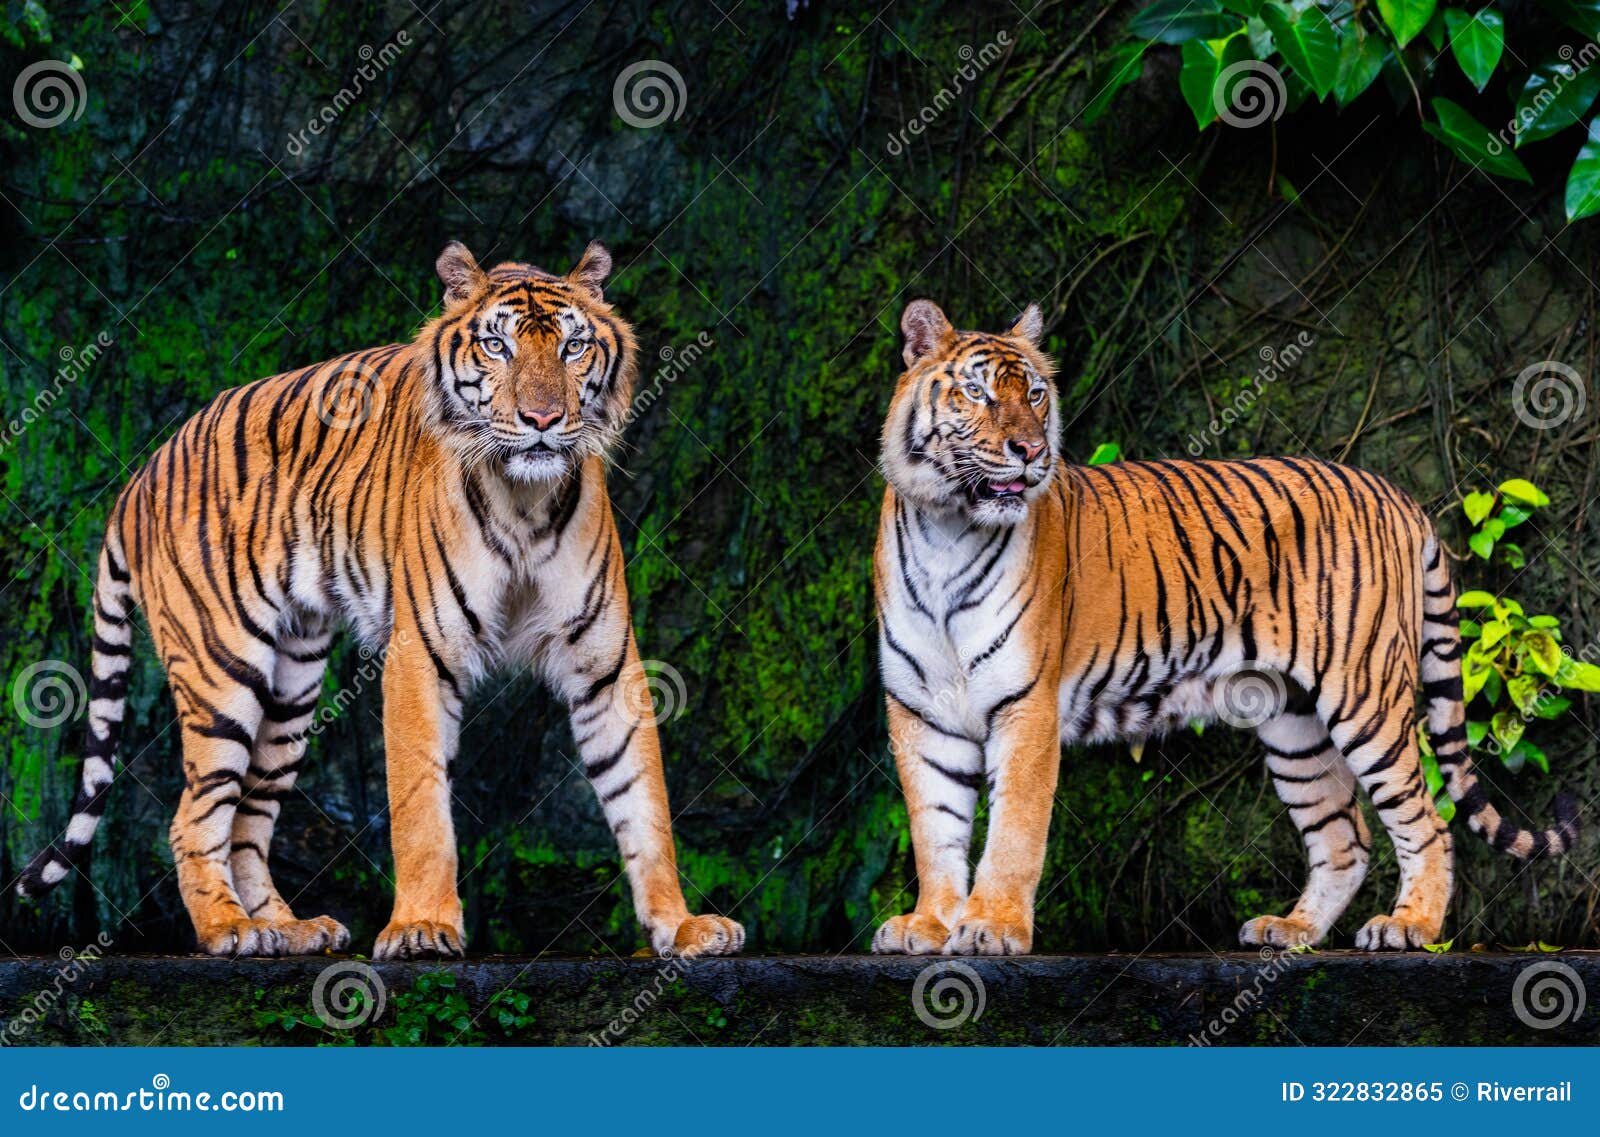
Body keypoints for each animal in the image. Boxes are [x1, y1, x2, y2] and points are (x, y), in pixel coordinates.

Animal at [15, 240, 744, 961]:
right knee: (193, 813)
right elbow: (420, 804)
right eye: (497, 346)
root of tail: (144, 469)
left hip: (292, 686)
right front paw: (422, 926)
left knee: (248, 816)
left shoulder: (606, 666)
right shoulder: (422, 654)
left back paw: (286, 929)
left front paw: (681, 924)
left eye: (572, 347)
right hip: (223, 666)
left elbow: (643, 800)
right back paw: (228, 929)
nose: (542, 419)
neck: (525, 501)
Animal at [870, 297, 1579, 956]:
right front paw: (930, 925)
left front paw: (991, 928)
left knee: (1425, 820)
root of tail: (1398, 495)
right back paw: (1291, 930)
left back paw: (1409, 927)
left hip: (1366, 697)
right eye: (977, 392)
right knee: (1345, 835)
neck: (947, 530)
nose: (1031, 451)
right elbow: (934, 829)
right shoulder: (920, 712)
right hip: (1293, 724)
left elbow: (1013, 830)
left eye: (1037, 395)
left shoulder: (1026, 707)